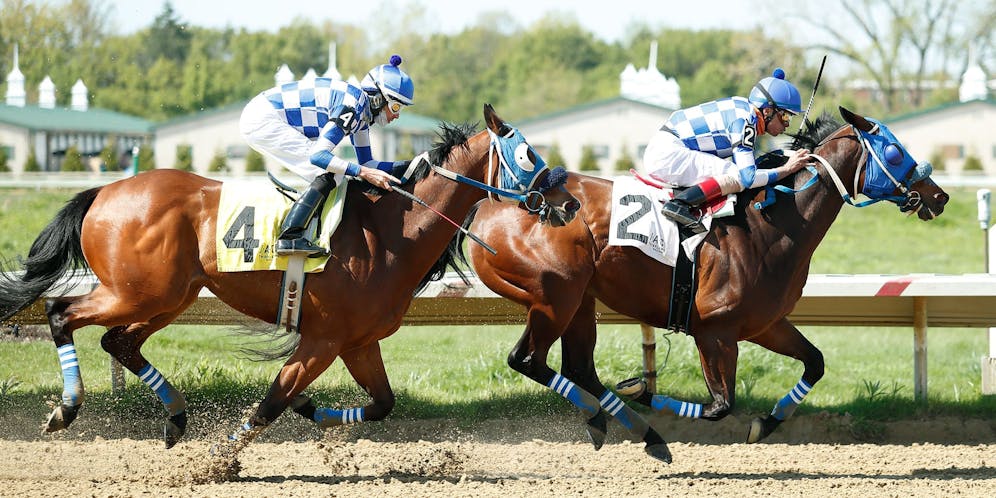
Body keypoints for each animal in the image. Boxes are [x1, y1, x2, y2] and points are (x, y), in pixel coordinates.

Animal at [0, 104, 582, 457]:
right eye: (528, 154)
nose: (570, 203)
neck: (391, 231)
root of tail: (103, 191)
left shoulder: (358, 341)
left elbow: (380, 404)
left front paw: (310, 411)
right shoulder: (322, 339)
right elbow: (271, 402)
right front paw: (222, 460)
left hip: (168, 296)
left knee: (118, 341)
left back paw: (175, 417)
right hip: (135, 291)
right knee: (62, 313)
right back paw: (66, 409)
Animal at [457, 107, 949, 454]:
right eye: (895, 151)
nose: (938, 196)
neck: (770, 222)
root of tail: (489, 202)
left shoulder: (764, 324)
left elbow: (815, 362)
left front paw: (766, 423)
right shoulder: (714, 331)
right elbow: (719, 406)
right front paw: (644, 389)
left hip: (580, 300)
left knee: (577, 367)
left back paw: (630, 429)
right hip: (555, 297)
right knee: (527, 359)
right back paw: (626, 422)